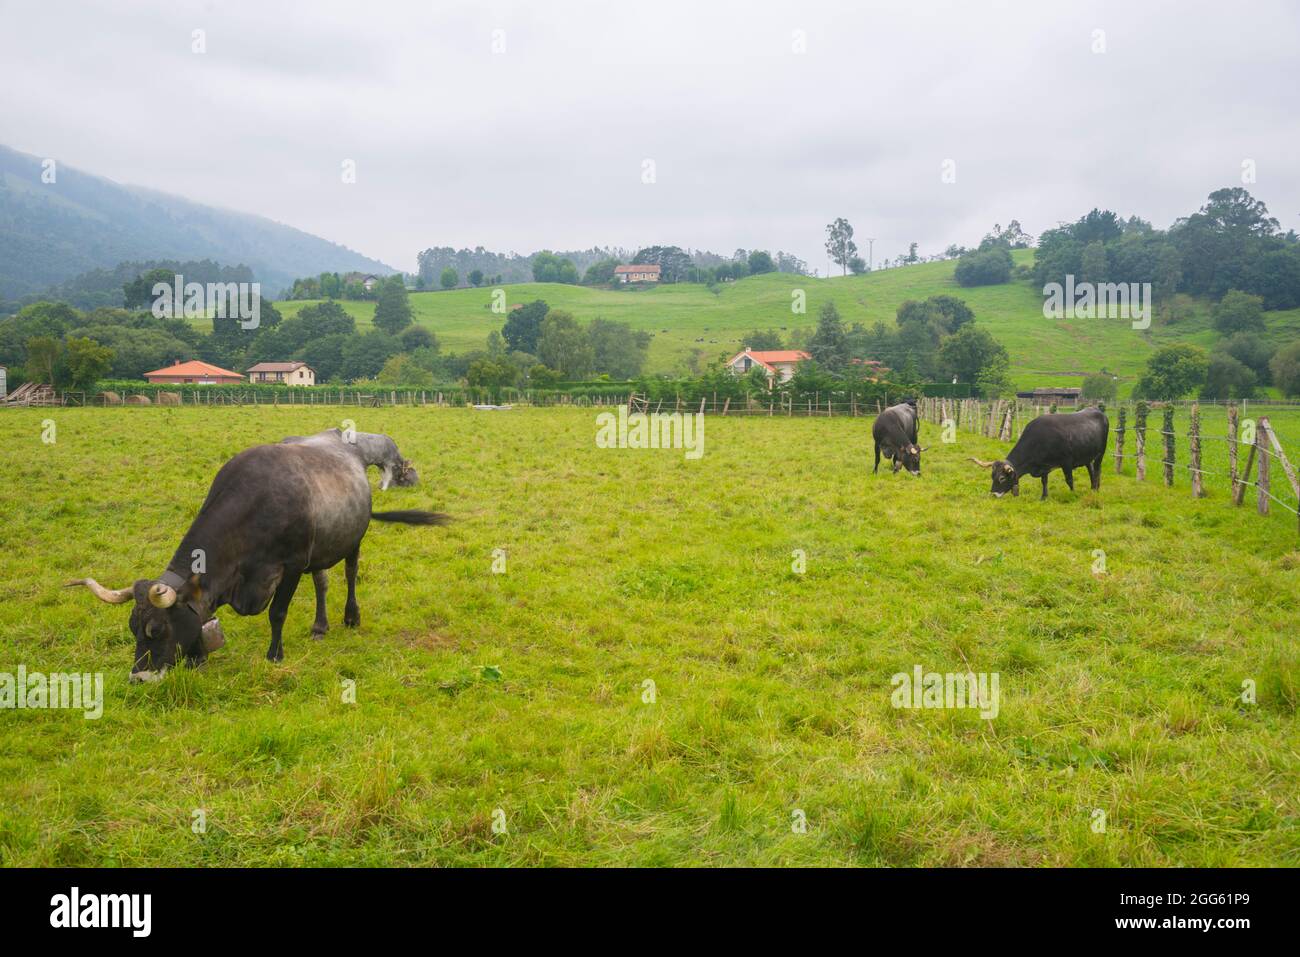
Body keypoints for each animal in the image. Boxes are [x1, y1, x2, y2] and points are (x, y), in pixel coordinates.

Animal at [66, 440, 448, 681]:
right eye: (133, 628)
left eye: (156, 630)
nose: (139, 678)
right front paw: (197, 658)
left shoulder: (291, 565)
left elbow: (277, 612)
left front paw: (274, 655)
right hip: (319, 551)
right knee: (322, 582)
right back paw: (320, 626)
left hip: (352, 539)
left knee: (351, 573)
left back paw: (351, 617)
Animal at [971, 407, 1109, 500]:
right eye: (992, 476)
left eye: (1002, 478)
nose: (993, 494)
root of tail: (1098, 411)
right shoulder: (1043, 466)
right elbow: (1044, 481)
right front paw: (1044, 497)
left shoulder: (1066, 463)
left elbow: (1069, 480)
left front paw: (1073, 494)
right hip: (1087, 456)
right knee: (1091, 470)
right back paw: (1093, 487)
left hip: (1100, 454)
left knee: (1097, 470)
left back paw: (1096, 489)